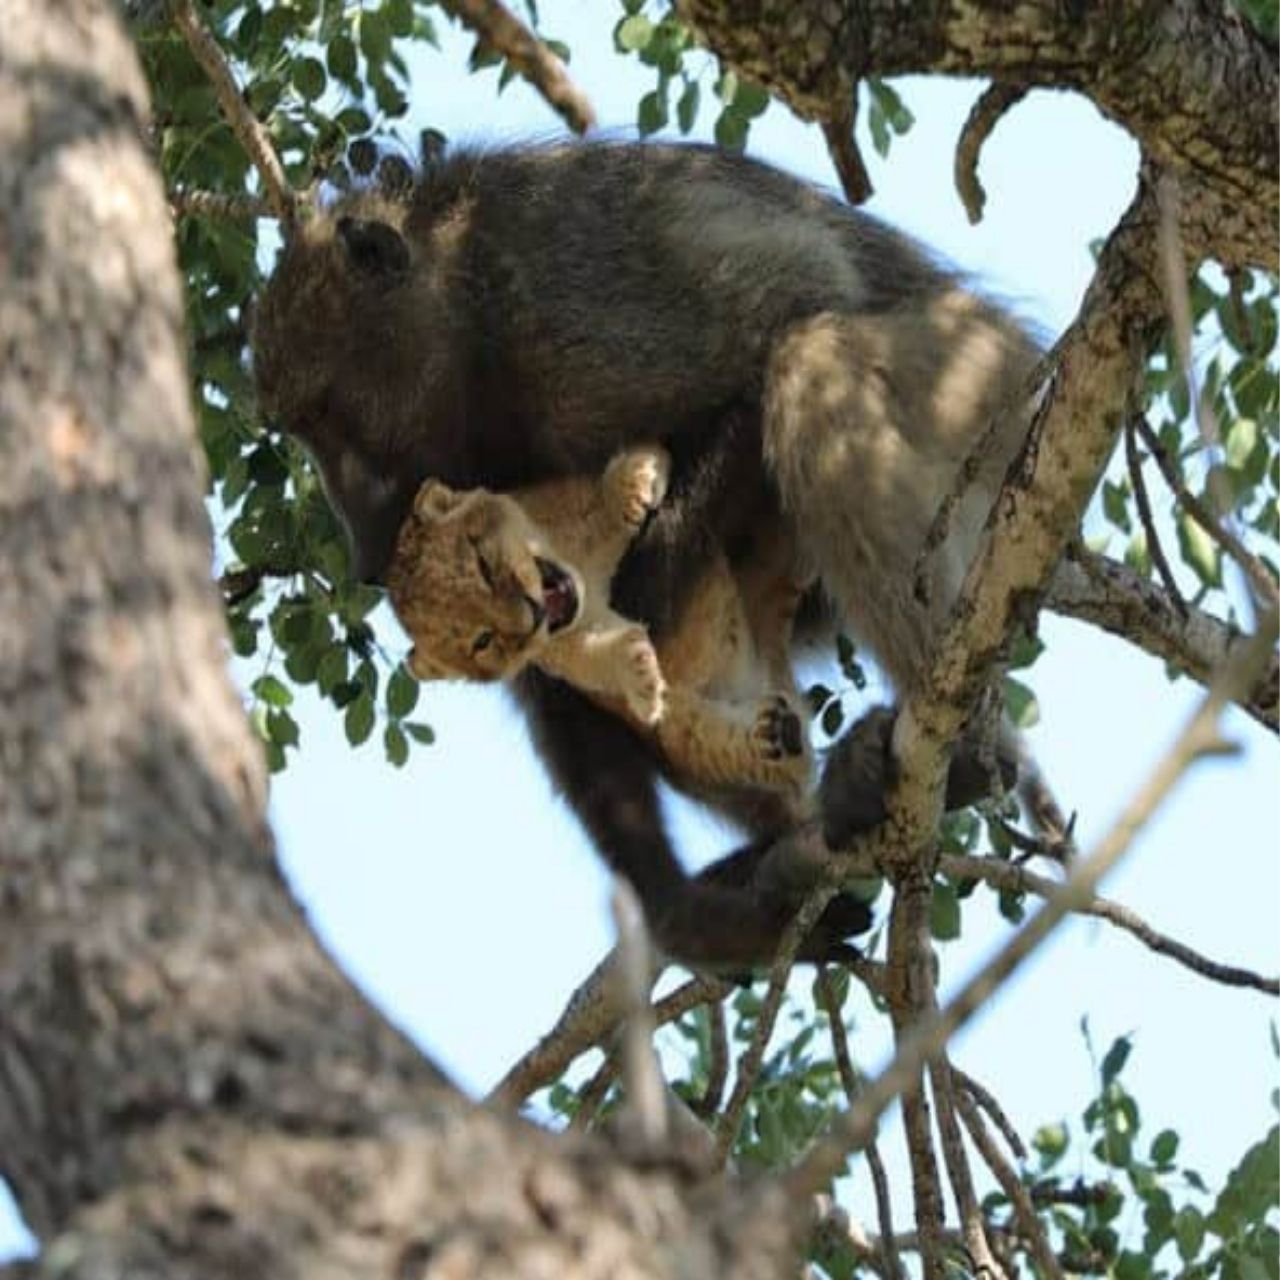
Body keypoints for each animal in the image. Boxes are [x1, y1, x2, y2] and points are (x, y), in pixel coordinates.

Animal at [252, 140, 1046, 968]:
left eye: (328, 417)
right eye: (299, 429)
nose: (364, 554)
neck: (460, 307)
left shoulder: (572, 321)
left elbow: (792, 305)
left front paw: (653, 575)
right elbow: (540, 669)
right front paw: (686, 916)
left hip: (981, 387)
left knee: (812, 359)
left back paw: (967, 752)